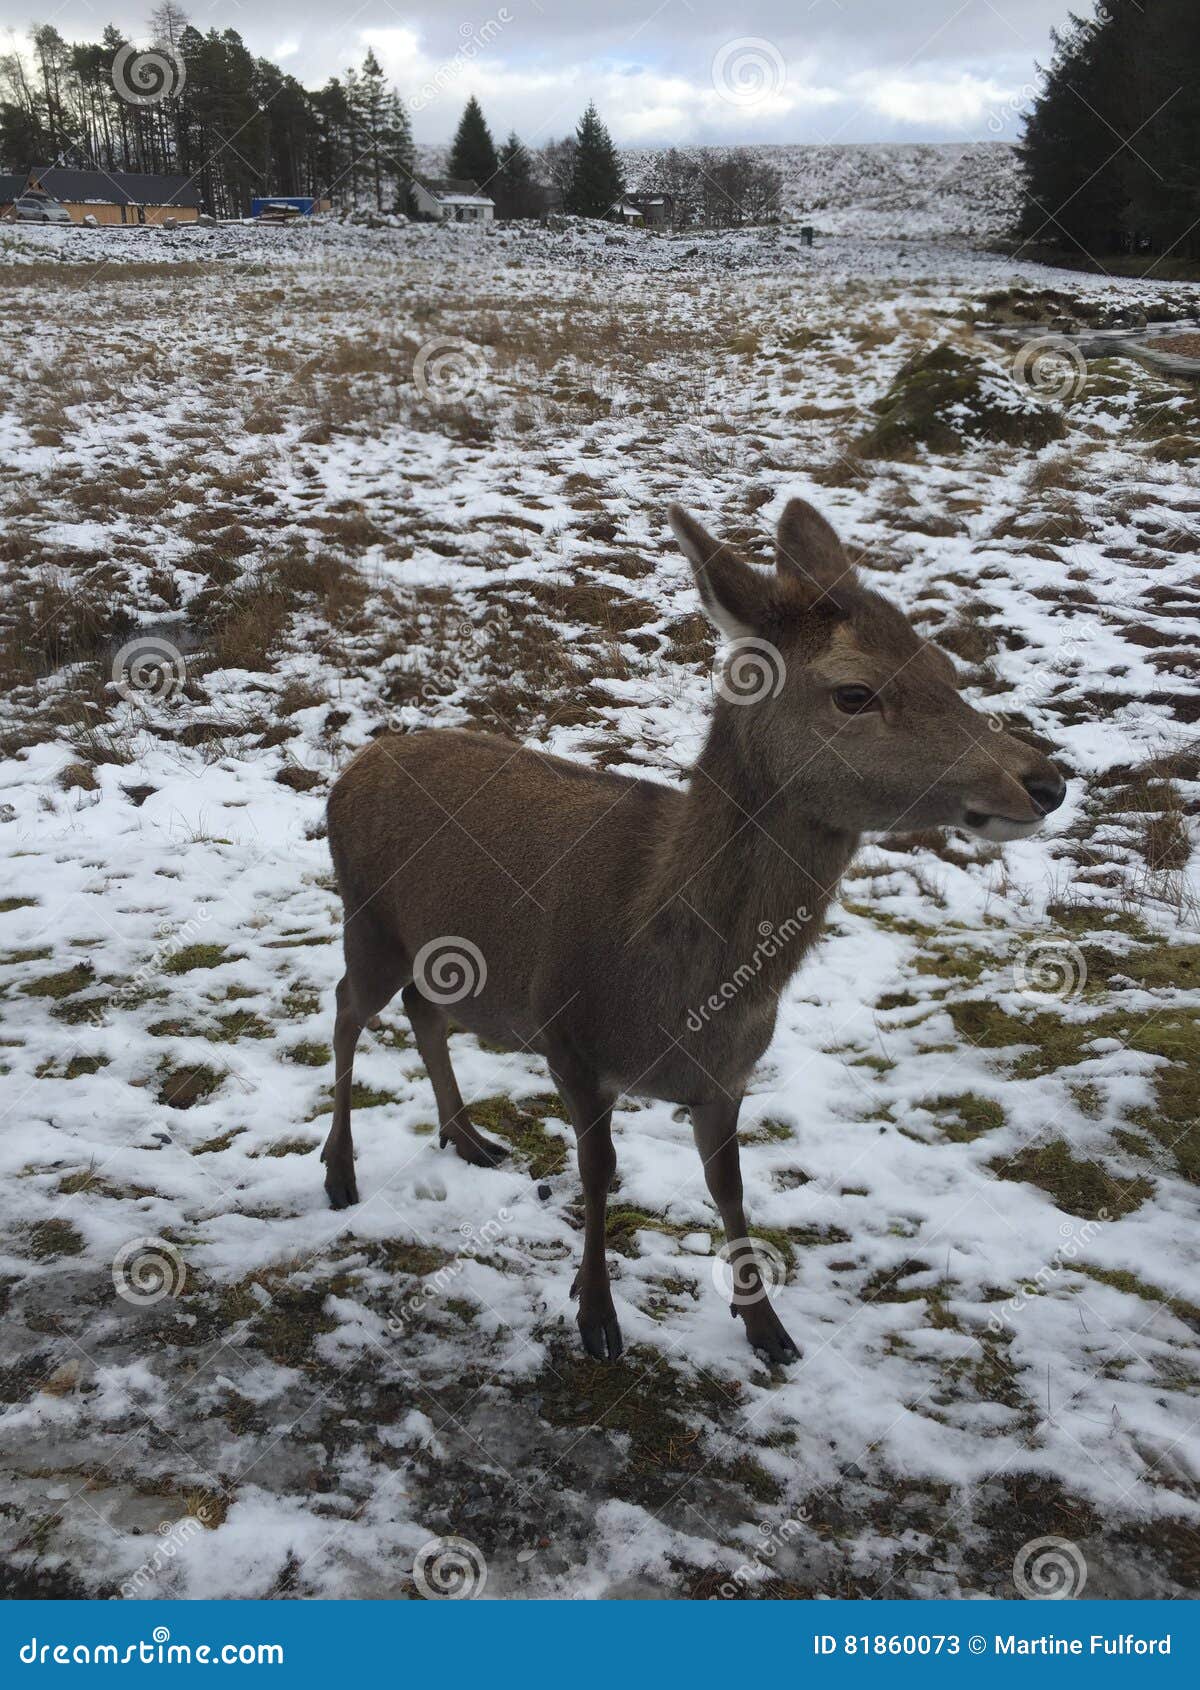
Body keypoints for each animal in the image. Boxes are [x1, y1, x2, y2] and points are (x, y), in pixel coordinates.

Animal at [320, 497, 1066, 1366]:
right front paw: (596, 1316)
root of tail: (354, 765)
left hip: (439, 956)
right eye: (854, 692)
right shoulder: (567, 1039)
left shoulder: (729, 1076)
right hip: (367, 917)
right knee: (347, 1006)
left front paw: (766, 1326)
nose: (1044, 781)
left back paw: (467, 1137)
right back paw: (340, 1172)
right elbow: (599, 1171)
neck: (681, 990)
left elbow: (728, 1184)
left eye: (944, 666)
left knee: (422, 1010)